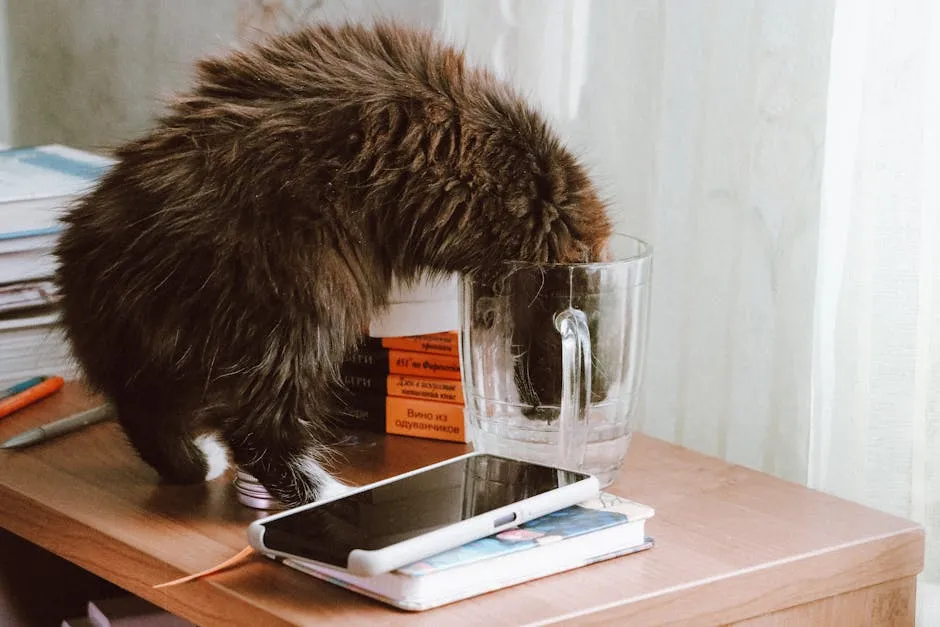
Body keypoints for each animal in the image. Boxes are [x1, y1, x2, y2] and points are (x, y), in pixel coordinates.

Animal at [55, 22, 612, 508]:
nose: (595, 397)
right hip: (306, 297)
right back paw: (327, 495)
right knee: (256, 427)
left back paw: (196, 464)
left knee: (144, 411)